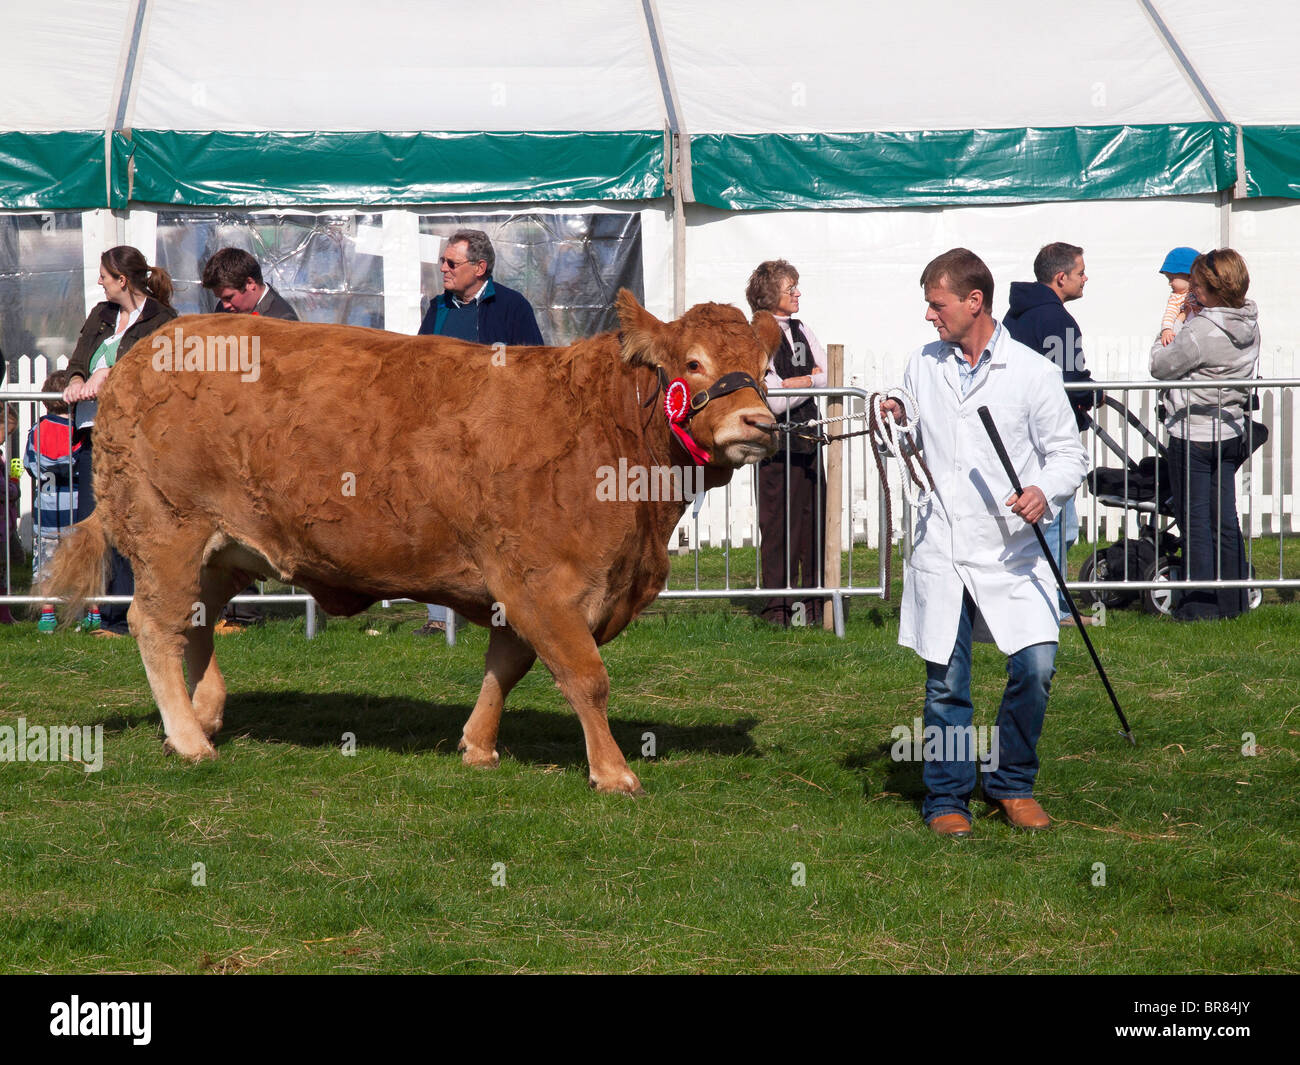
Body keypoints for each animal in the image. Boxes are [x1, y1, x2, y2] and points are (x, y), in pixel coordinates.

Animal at [46, 291, 782, 794]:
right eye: (694, 362)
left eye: (765, 367)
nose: (761, 423)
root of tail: (145, 351)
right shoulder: (544, 582)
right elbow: (585, 677)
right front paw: (613, 771)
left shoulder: (518, 582)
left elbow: (506, 665)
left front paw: (478, 746)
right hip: (167, 530)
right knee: (155, 624)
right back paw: (189, 738)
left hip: (222, 550)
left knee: (194, 624)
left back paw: (205, 714)